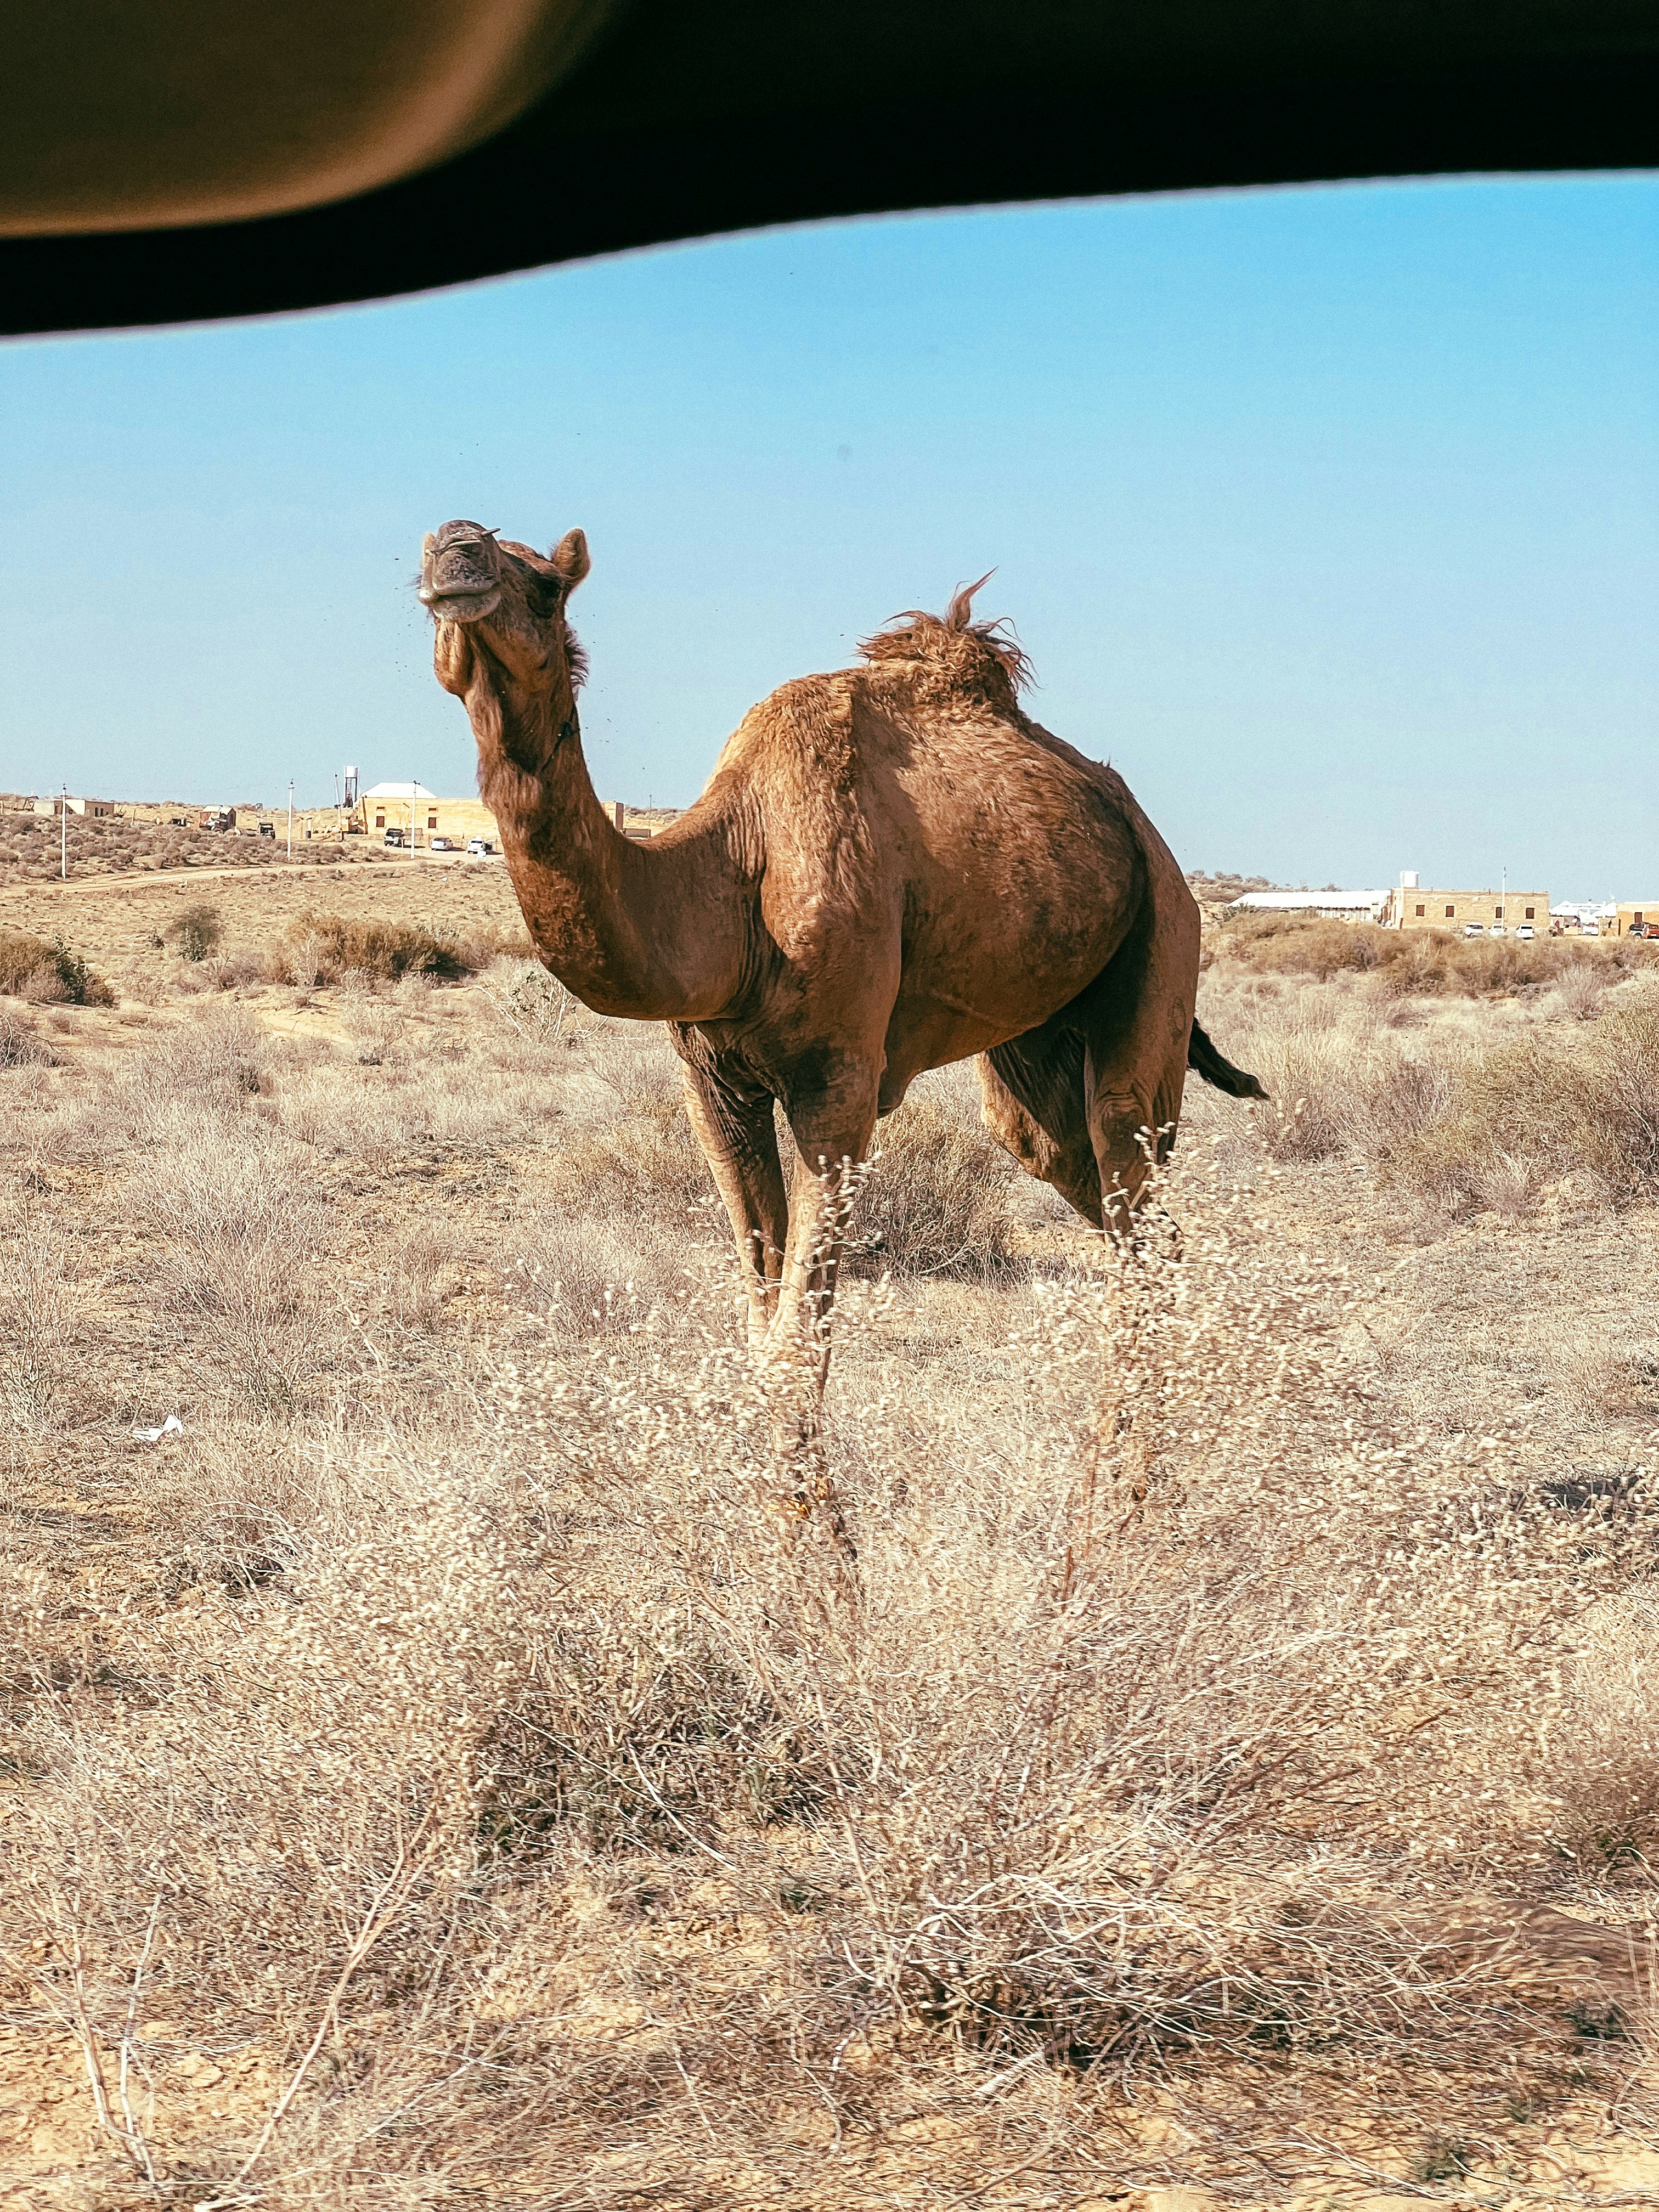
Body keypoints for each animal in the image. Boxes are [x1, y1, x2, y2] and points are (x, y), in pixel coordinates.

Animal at [420, 518, 1264, 1409]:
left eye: (548, 588)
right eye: (434, 554)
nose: (455, 552)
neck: (731, 871)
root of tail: (1150, 841)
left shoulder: (841, 1080)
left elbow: (797, 1344)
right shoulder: (711, 1080)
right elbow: (762, 1327)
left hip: (1164, 936)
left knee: (1129, 1161)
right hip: (1033, 1042)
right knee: (1079, 1177)